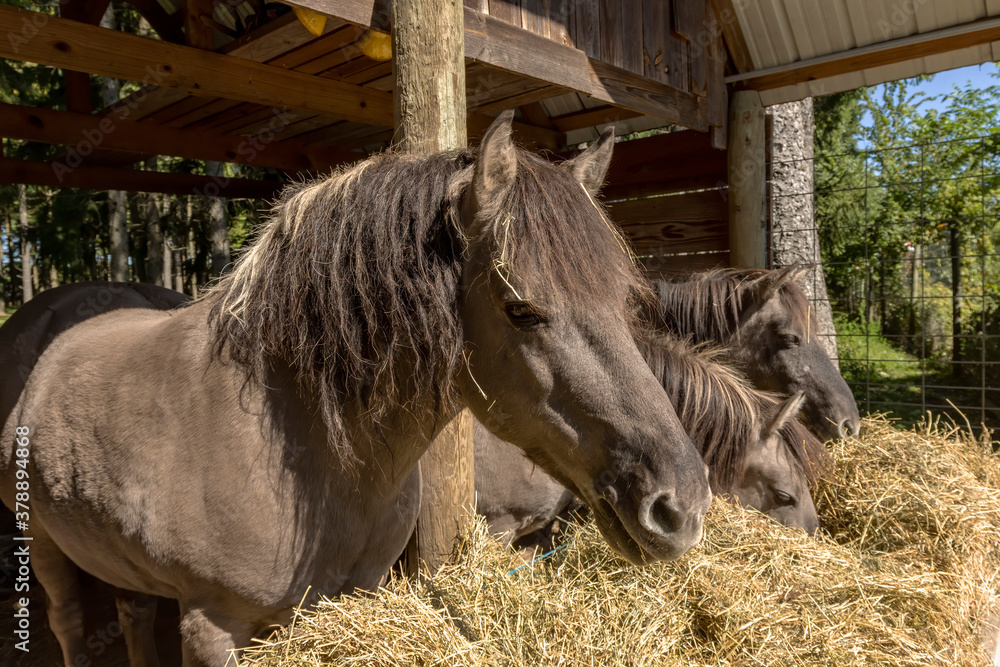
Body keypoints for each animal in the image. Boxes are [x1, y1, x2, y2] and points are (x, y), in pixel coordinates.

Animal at [0, 112, 712, 667]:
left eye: (625, 303)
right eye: (522, 310)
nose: (680, 506)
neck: (299, 450)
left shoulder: (353, 596)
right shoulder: (214, 626)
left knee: (131, 615)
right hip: (44, 548)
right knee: (67, 622)